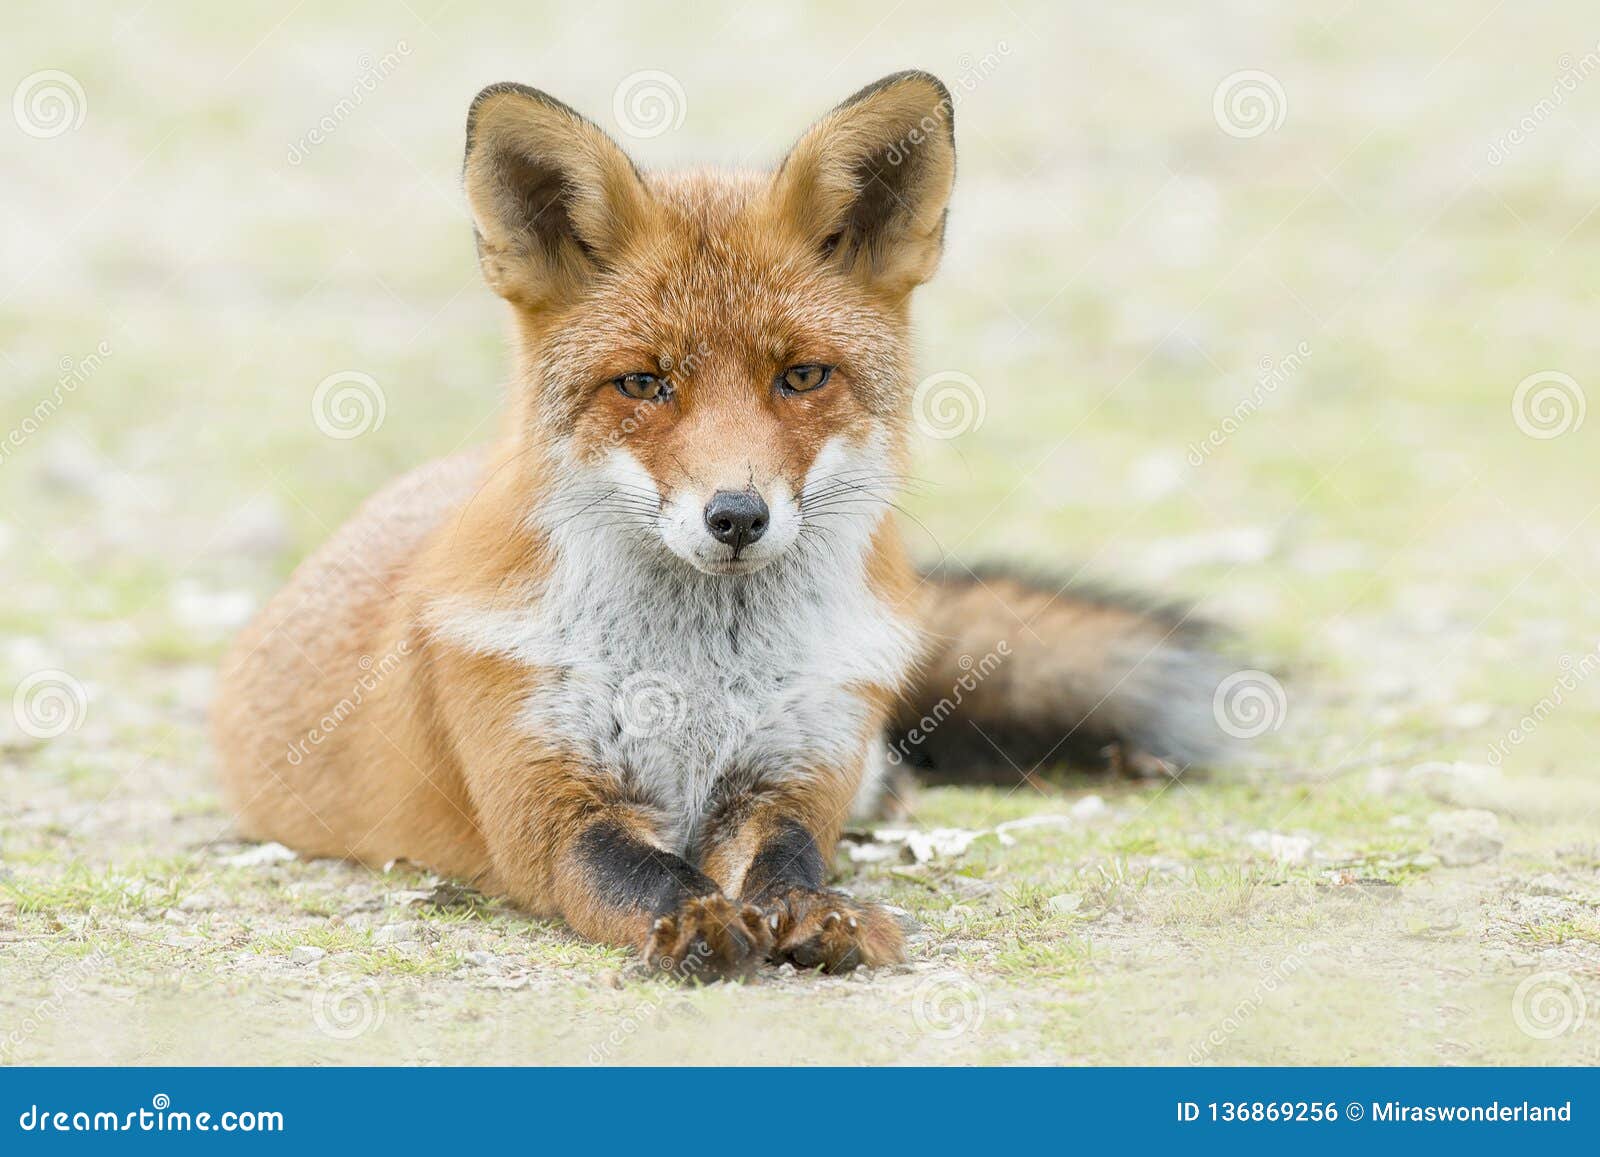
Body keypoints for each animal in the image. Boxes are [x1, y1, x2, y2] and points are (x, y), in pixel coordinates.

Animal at [213, 71, 1231, 979]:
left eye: (802, 376)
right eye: (644, 382)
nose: (737, 513)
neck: (703, 676)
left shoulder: (791, 774)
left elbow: (789, 860)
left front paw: (820, 913)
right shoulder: (547, 806)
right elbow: (645, 874)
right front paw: (699, 923)